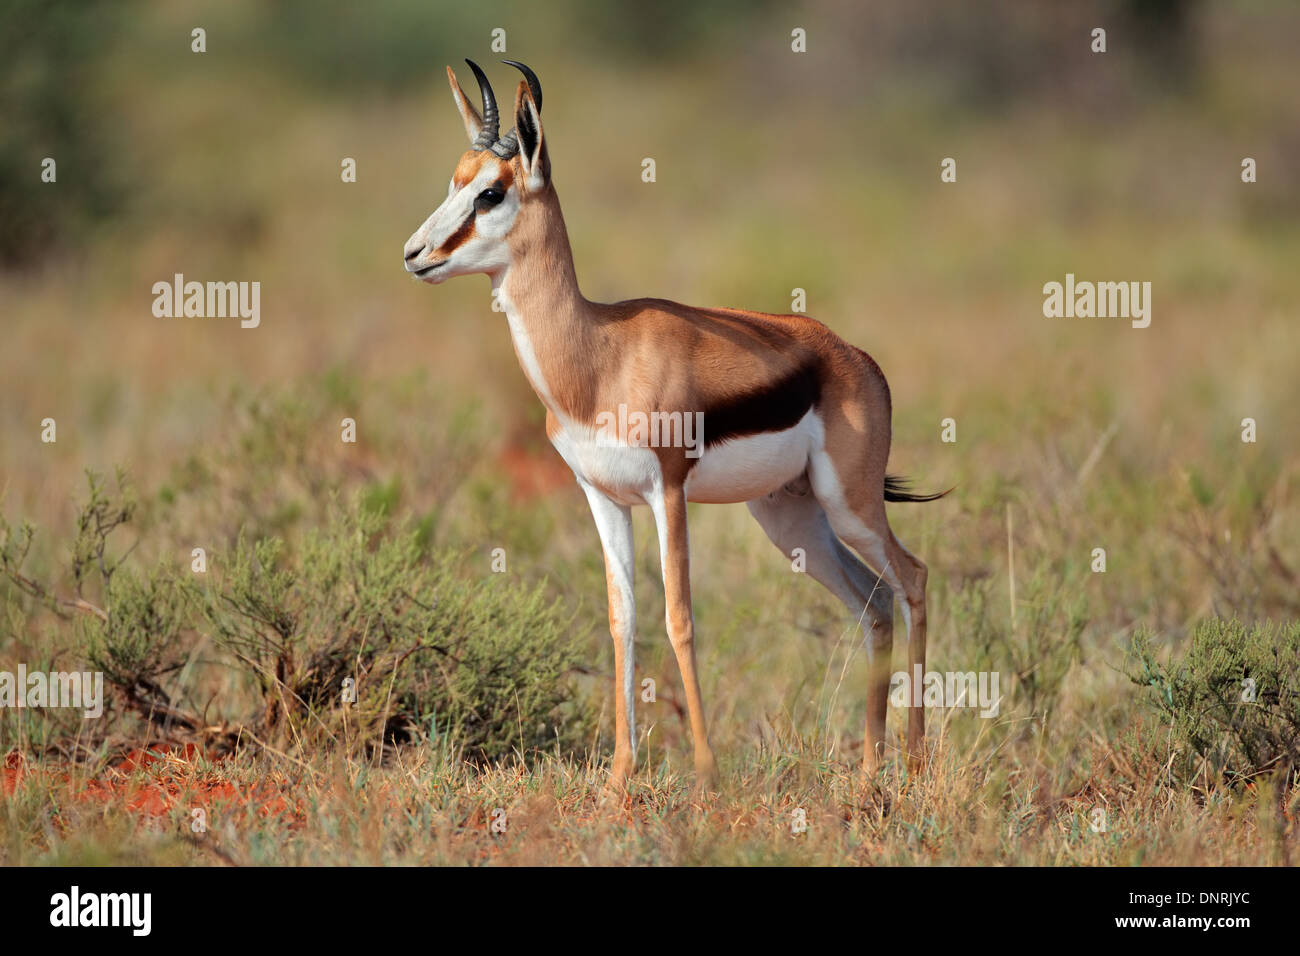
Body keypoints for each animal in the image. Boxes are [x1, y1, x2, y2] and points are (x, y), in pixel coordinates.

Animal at [402, 60, 948, 791]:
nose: (415, 253)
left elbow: (679, 617)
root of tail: (854, 357)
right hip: (790, 518)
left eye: (491, 192)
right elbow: (622, 619)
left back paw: (912, 761)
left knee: (912, 578)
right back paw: (868, 769)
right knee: (874, 601)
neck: (597, 357)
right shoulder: (603, 498)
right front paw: (619, 778)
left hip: (849, 504)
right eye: (454, 181)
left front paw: (707, 774)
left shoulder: (668, 492)